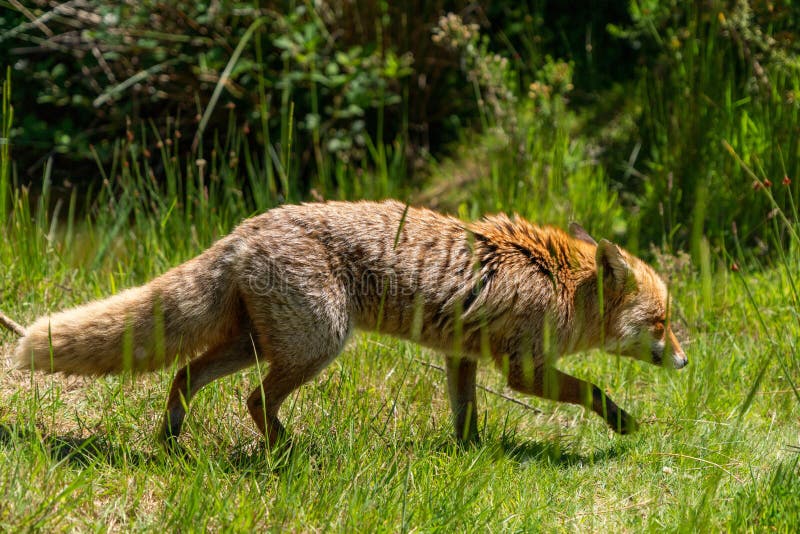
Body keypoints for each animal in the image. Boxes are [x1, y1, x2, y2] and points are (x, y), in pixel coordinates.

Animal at [10, 200, 686, 447]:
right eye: (661, 323)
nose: (685, 361)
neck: (562, 284)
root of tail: (242, 231)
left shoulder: (462, 356)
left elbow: (466, 418)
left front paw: (470, 456)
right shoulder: (522, 369)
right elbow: (592, 391)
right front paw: (623, 423)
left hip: (256, 343)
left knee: (185, 375)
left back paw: (173, 439)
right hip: (317, 345)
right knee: (254, 402)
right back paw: (287, 452)